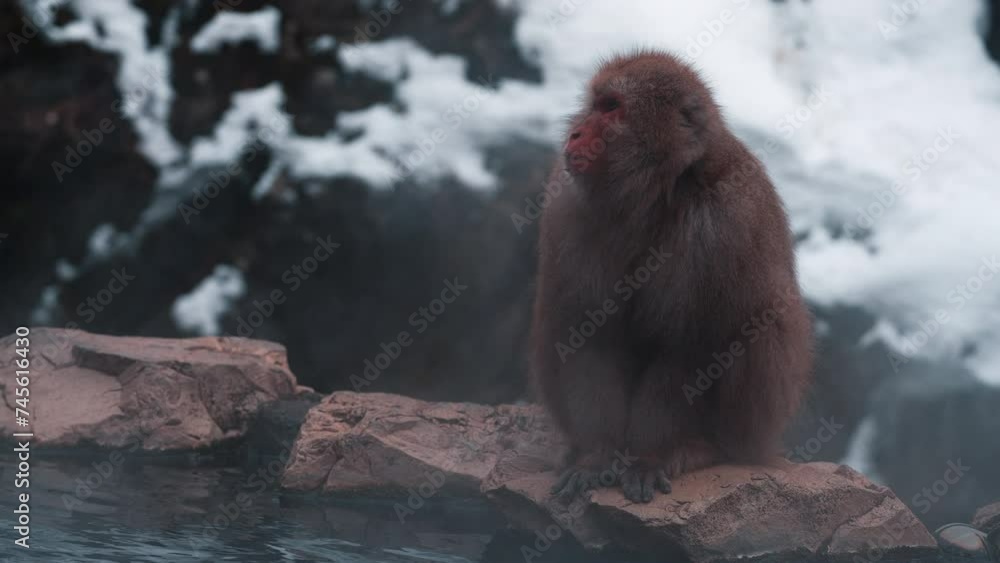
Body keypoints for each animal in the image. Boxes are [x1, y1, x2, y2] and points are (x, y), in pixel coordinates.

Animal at [530, 49, 813, 503]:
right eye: (595, 104)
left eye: (611, 107)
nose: (575, 133)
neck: (654, 195)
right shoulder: (568, 207)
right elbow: (588, 332)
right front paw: (597, 455)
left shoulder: (725, 223)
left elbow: (688, 348)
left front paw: (651, 457)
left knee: (762, 322)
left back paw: (706, 448)